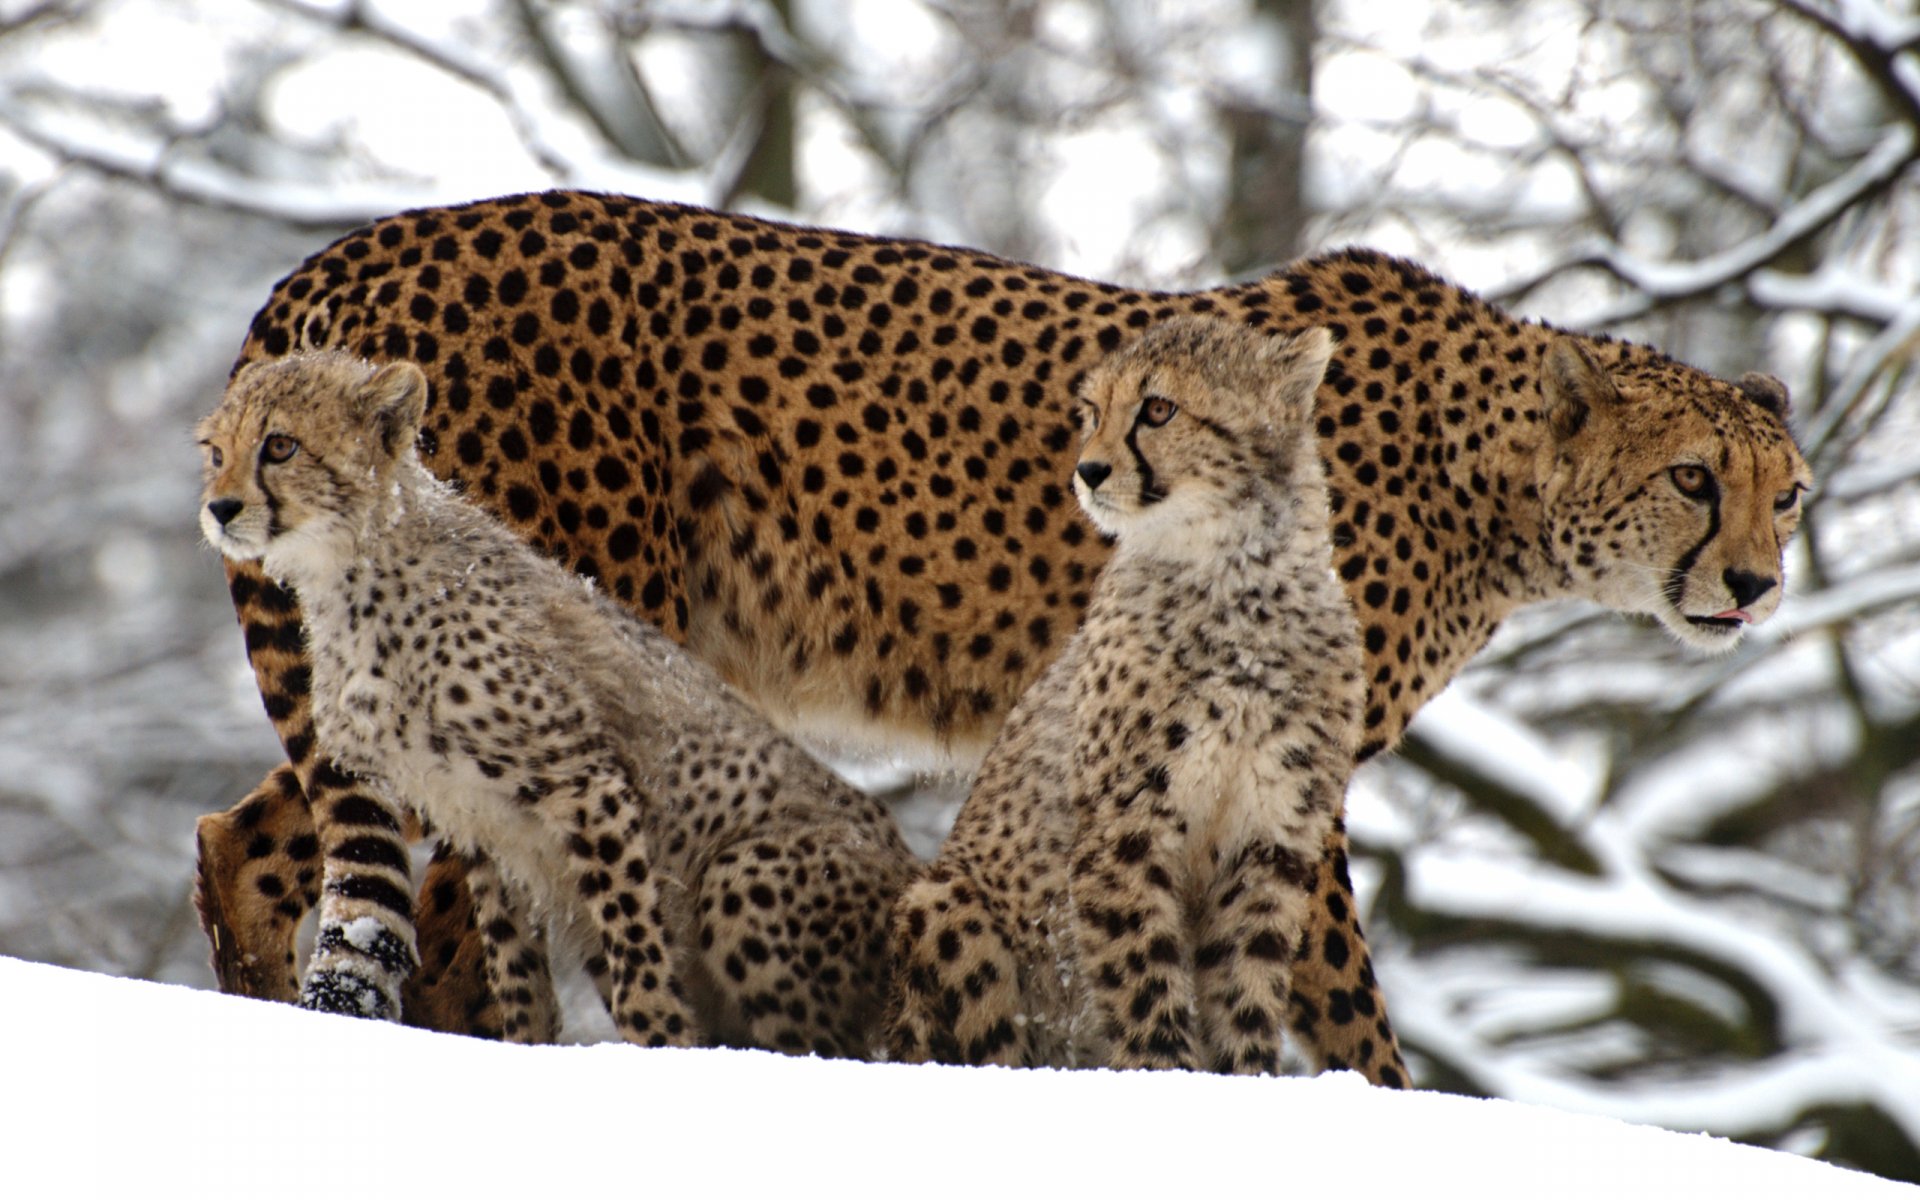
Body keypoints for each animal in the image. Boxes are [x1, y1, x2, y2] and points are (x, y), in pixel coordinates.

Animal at [195, 349, 918, 1053]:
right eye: (215, 451)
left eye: (280, 445)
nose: (220, 507)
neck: (351, 566)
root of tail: (911, 867)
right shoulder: (480, 825)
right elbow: (516, 974)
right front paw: (527, 1048)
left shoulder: (588, 784)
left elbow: (637, 955)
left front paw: (660, 1049)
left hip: (744, 871)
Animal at [887, 318, 1375, 1077]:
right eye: (1093, 412)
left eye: (1158, 409)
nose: (1087, 470)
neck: (1237, 580)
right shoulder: (1125, 825)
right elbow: (1142, 975)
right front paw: (1161, 1075)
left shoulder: (1270, 839)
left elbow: (1246, 984)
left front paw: (1247, 1078)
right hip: (947, 905)